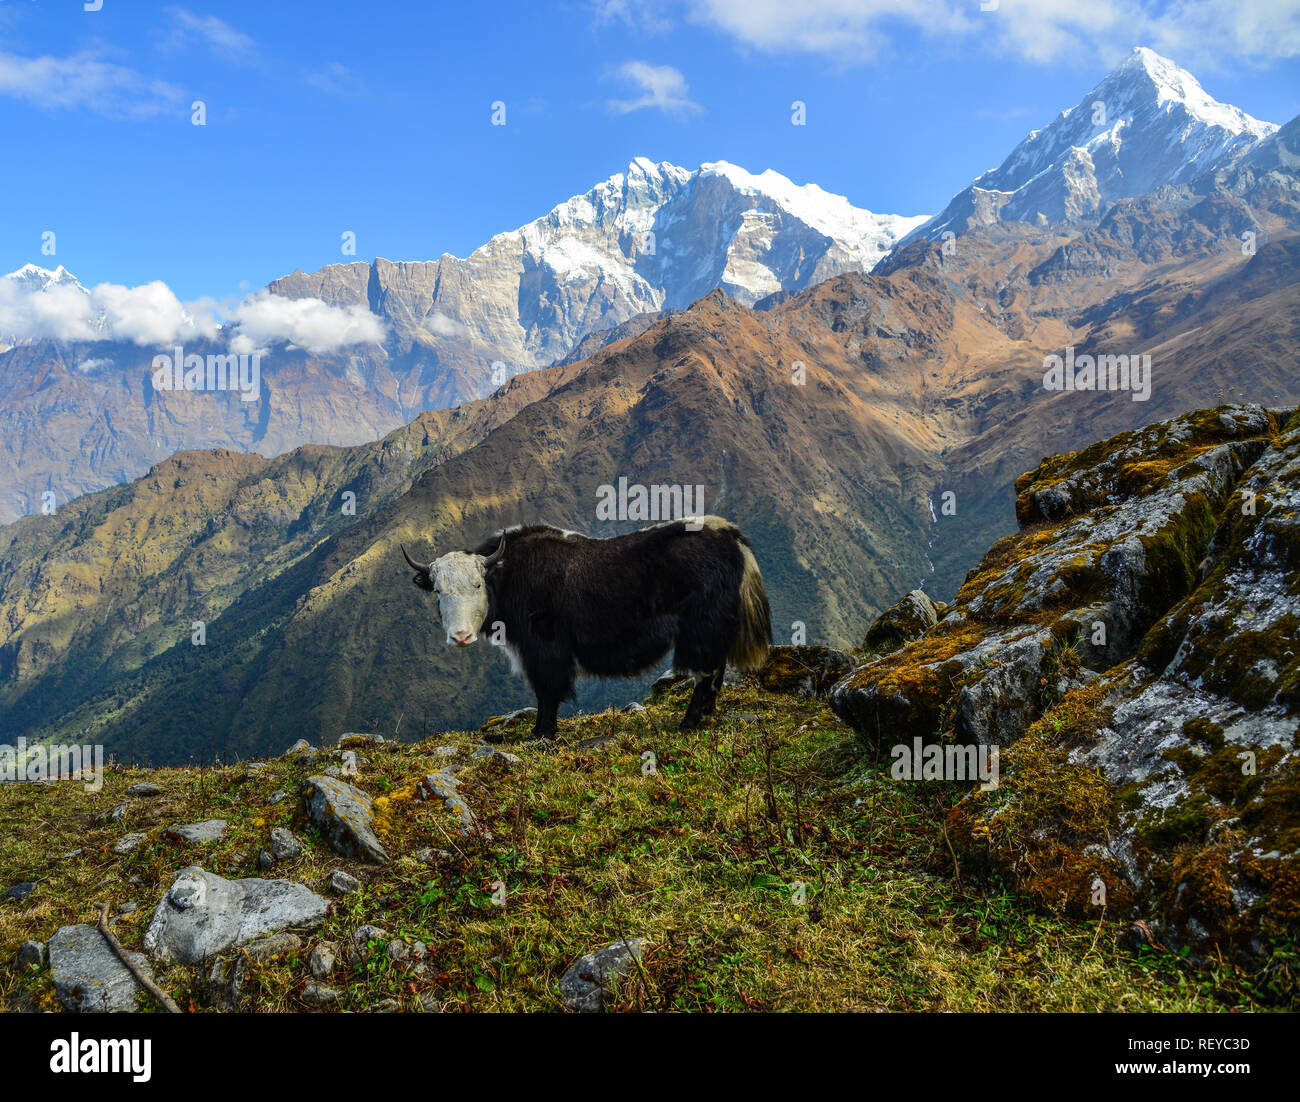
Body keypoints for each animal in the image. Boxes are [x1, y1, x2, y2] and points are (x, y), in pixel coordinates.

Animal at [401, 517, 772, 740]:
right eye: (438, 591)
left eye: (478, 585)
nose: (460, 636)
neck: (507, 572)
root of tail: (731, 537)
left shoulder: (544, 648)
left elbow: (547, 690)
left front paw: (541, 734)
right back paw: (704, 719)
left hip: (702, 629)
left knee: (706, 671)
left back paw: (689, 723)